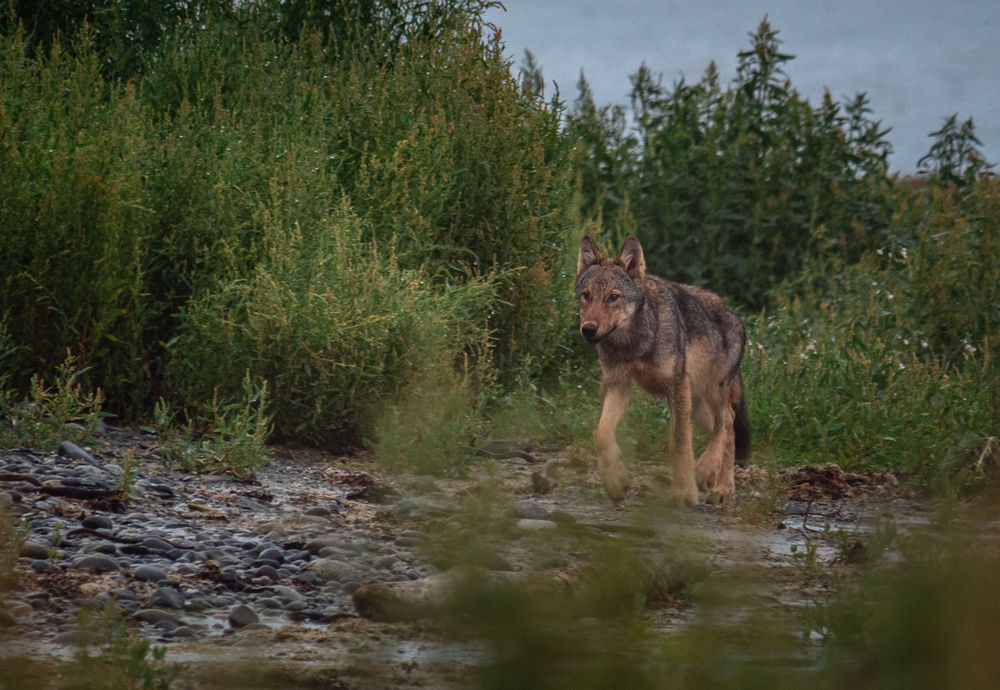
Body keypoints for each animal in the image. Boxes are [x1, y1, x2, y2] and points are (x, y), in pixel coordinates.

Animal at [576, 234, 750, 506]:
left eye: (613, 297)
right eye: (586, 295)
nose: (589, 329)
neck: (635, 344)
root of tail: (735, 316)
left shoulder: (676, 388)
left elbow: (678, 444)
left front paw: (684, 493)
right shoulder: (617, 385)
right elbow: (601, 432)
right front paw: (616, 482)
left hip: (711, 394)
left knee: (727, 424)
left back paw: (718, 483)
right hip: (696, 407)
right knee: (723, 431)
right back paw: (713, 479)